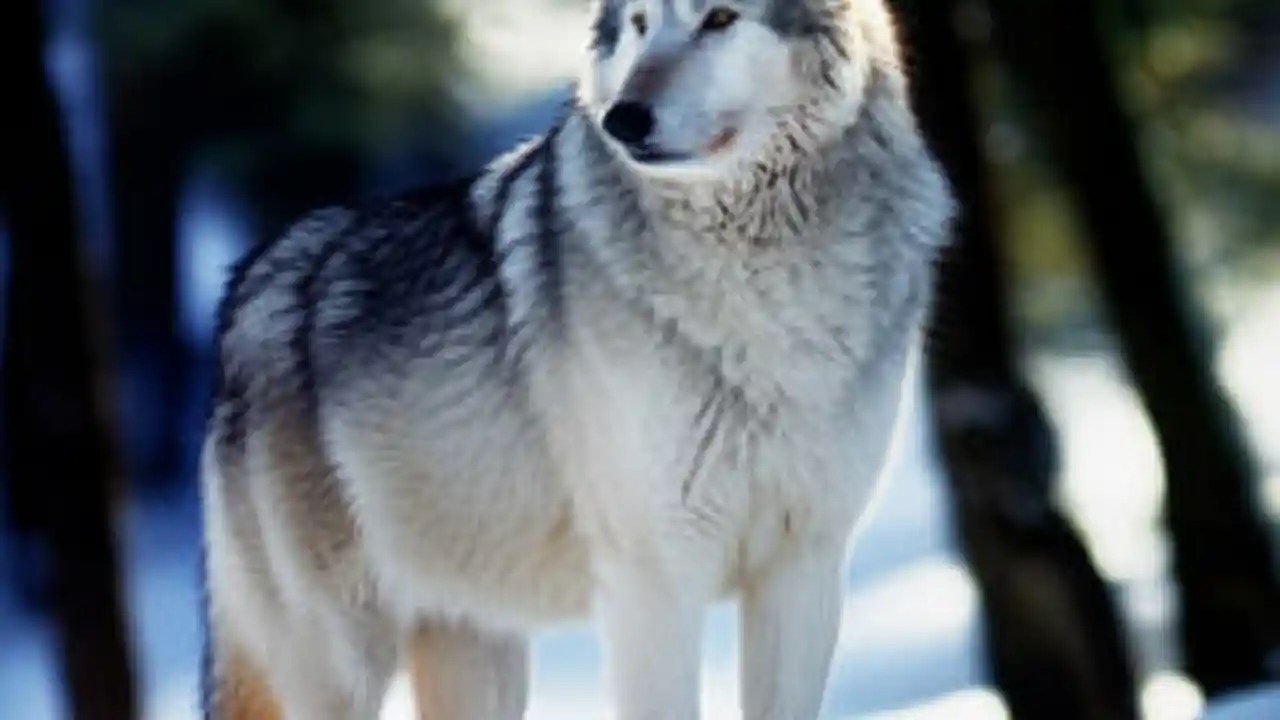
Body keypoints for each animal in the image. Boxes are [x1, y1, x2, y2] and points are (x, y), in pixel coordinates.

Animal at [201, 1, 952, 718]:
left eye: (720, 18)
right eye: (642, 23)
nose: (624, 119)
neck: (765, 286)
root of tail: (249, 286)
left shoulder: (805, 569)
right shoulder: (654, 581)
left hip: (478, 652)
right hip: (345, 663)